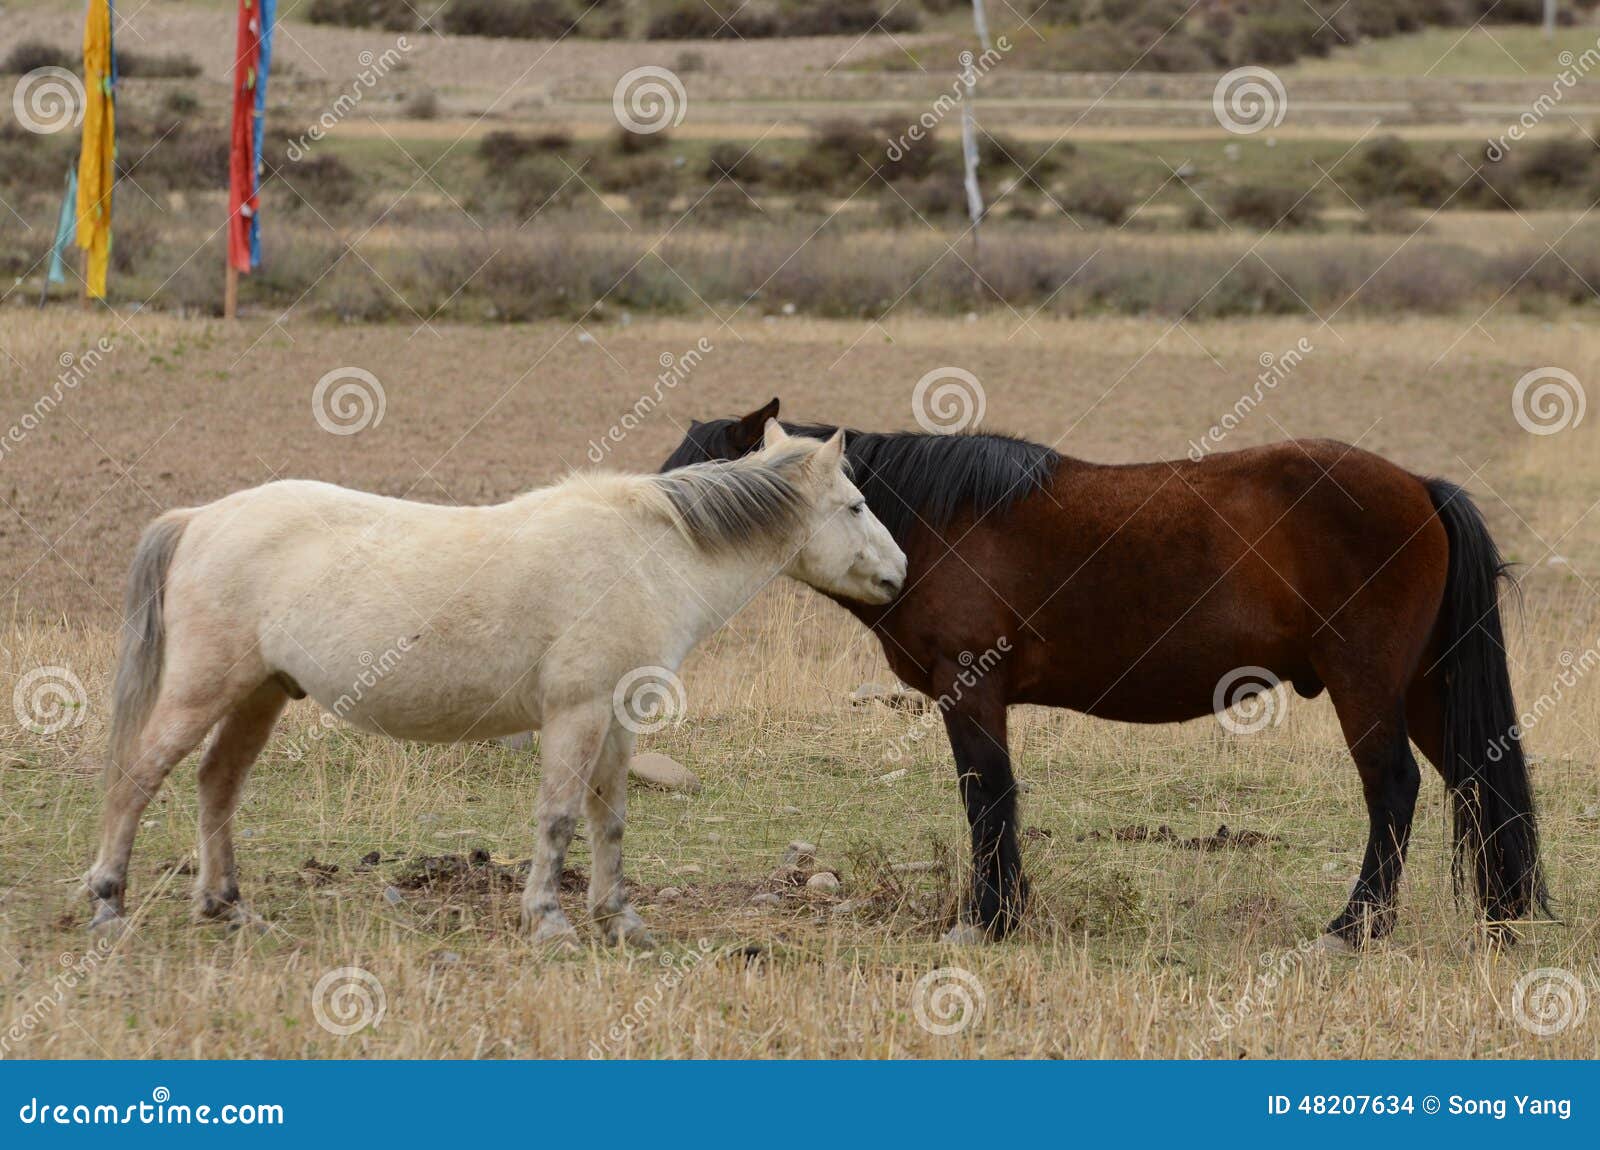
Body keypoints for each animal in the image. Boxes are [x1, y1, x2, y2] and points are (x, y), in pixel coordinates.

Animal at [87, 423, 906, 948]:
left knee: (217, 784)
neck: (648, 555)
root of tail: (201, 518)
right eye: (857, 505)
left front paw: (620, 921)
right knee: (138, 778)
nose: (898, 574)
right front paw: (549, 922)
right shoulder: (576, 716)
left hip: (258, 695)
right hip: (202, 691)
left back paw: (226, 909)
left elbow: (609, 821)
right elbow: (559, 819)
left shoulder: (617, 722)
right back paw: (108, 904)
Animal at [664, 399, 1547, 950]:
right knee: (1475, 780)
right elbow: (994, 800)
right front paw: (1004, 915)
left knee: (1393, 789)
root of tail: (1419, 489)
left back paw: (1351, 931)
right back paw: (1503, 919)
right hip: (1424, 688)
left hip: (1367, 686)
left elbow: (987, 797)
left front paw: (986, 920)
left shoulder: (971, 690)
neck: (923, 524)